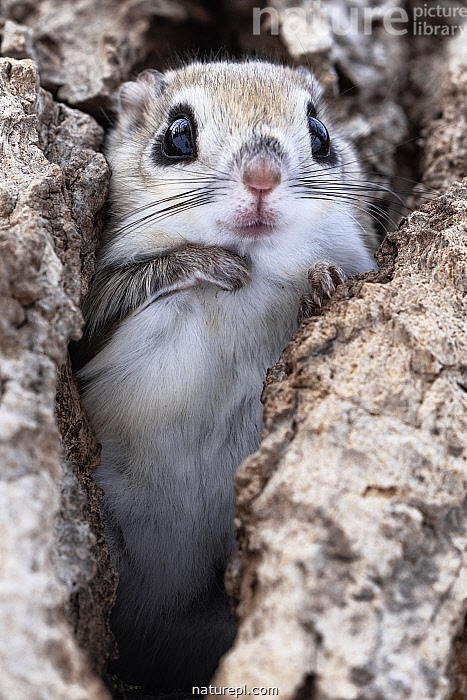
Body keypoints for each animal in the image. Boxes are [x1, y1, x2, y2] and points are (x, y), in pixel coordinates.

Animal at [76, 59, 377, 692]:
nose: (262, 176)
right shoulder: (92, 314)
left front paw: (323, 283)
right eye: (177, 135)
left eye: (320, 133)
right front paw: (206, 263)